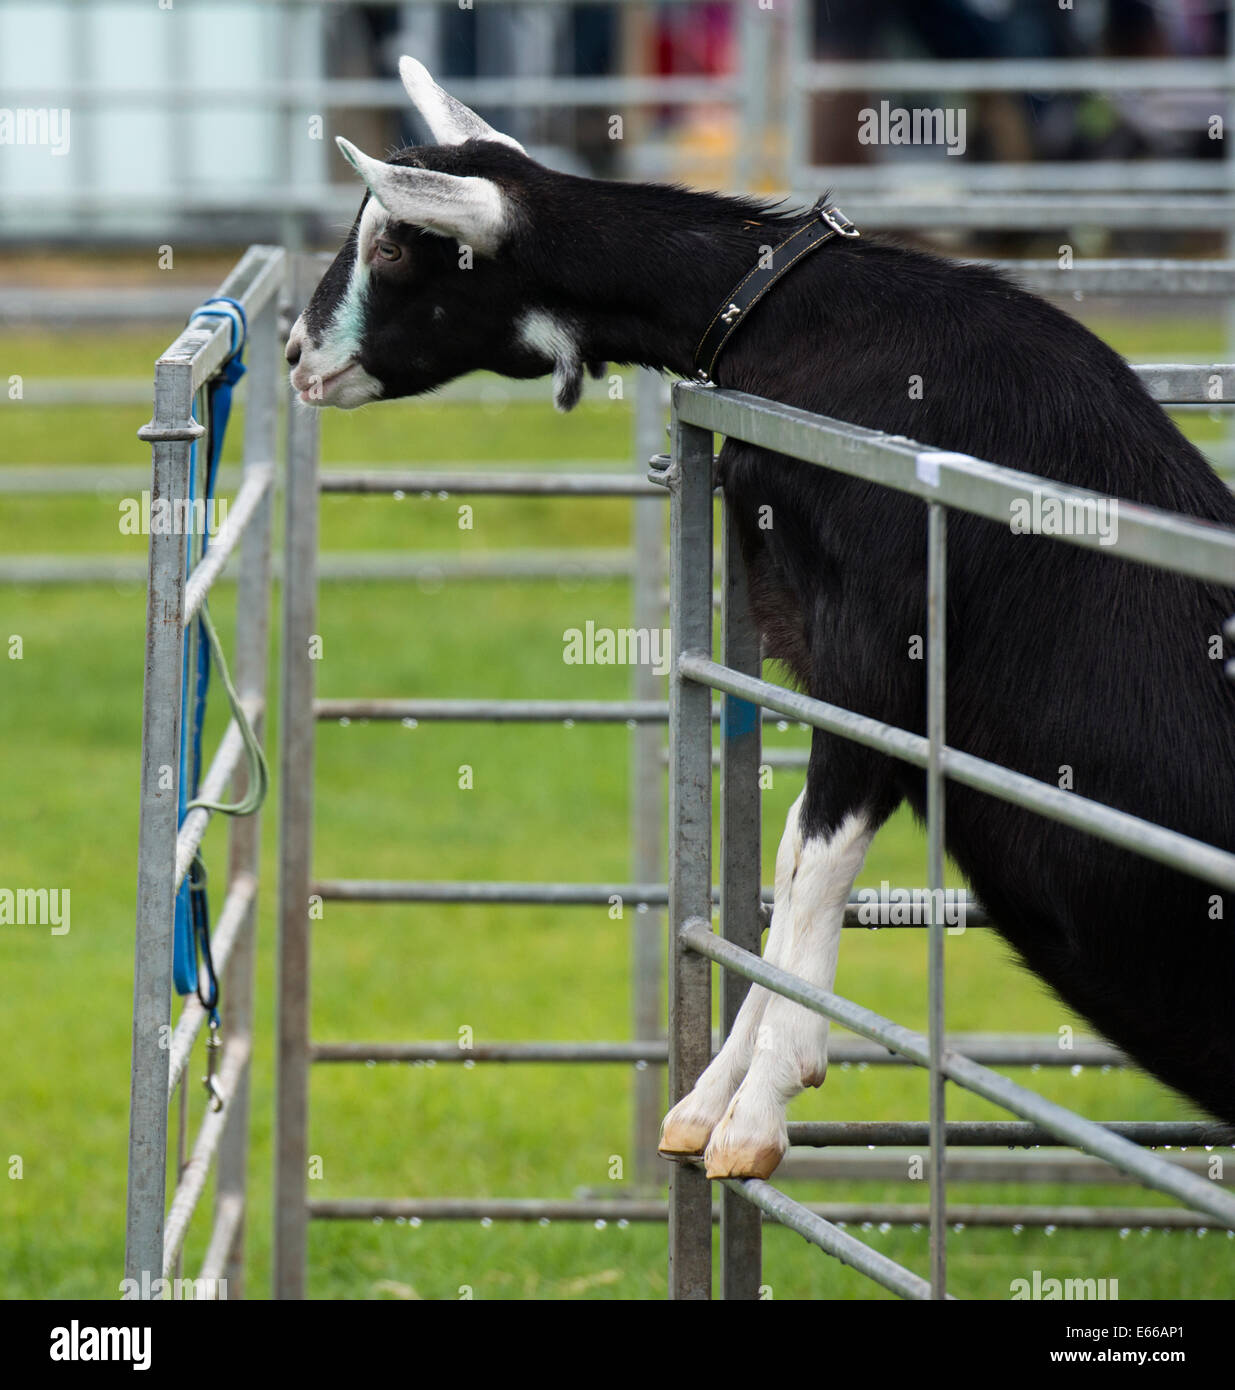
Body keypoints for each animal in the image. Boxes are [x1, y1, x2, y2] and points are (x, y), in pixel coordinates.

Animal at [287, 57, 1235, 1180]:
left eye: (391, 246)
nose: (295, 354)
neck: (784, 315)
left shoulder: (882, 660)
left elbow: (821, 851)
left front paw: (758, 1108)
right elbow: (785, 854)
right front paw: (707, 1098)